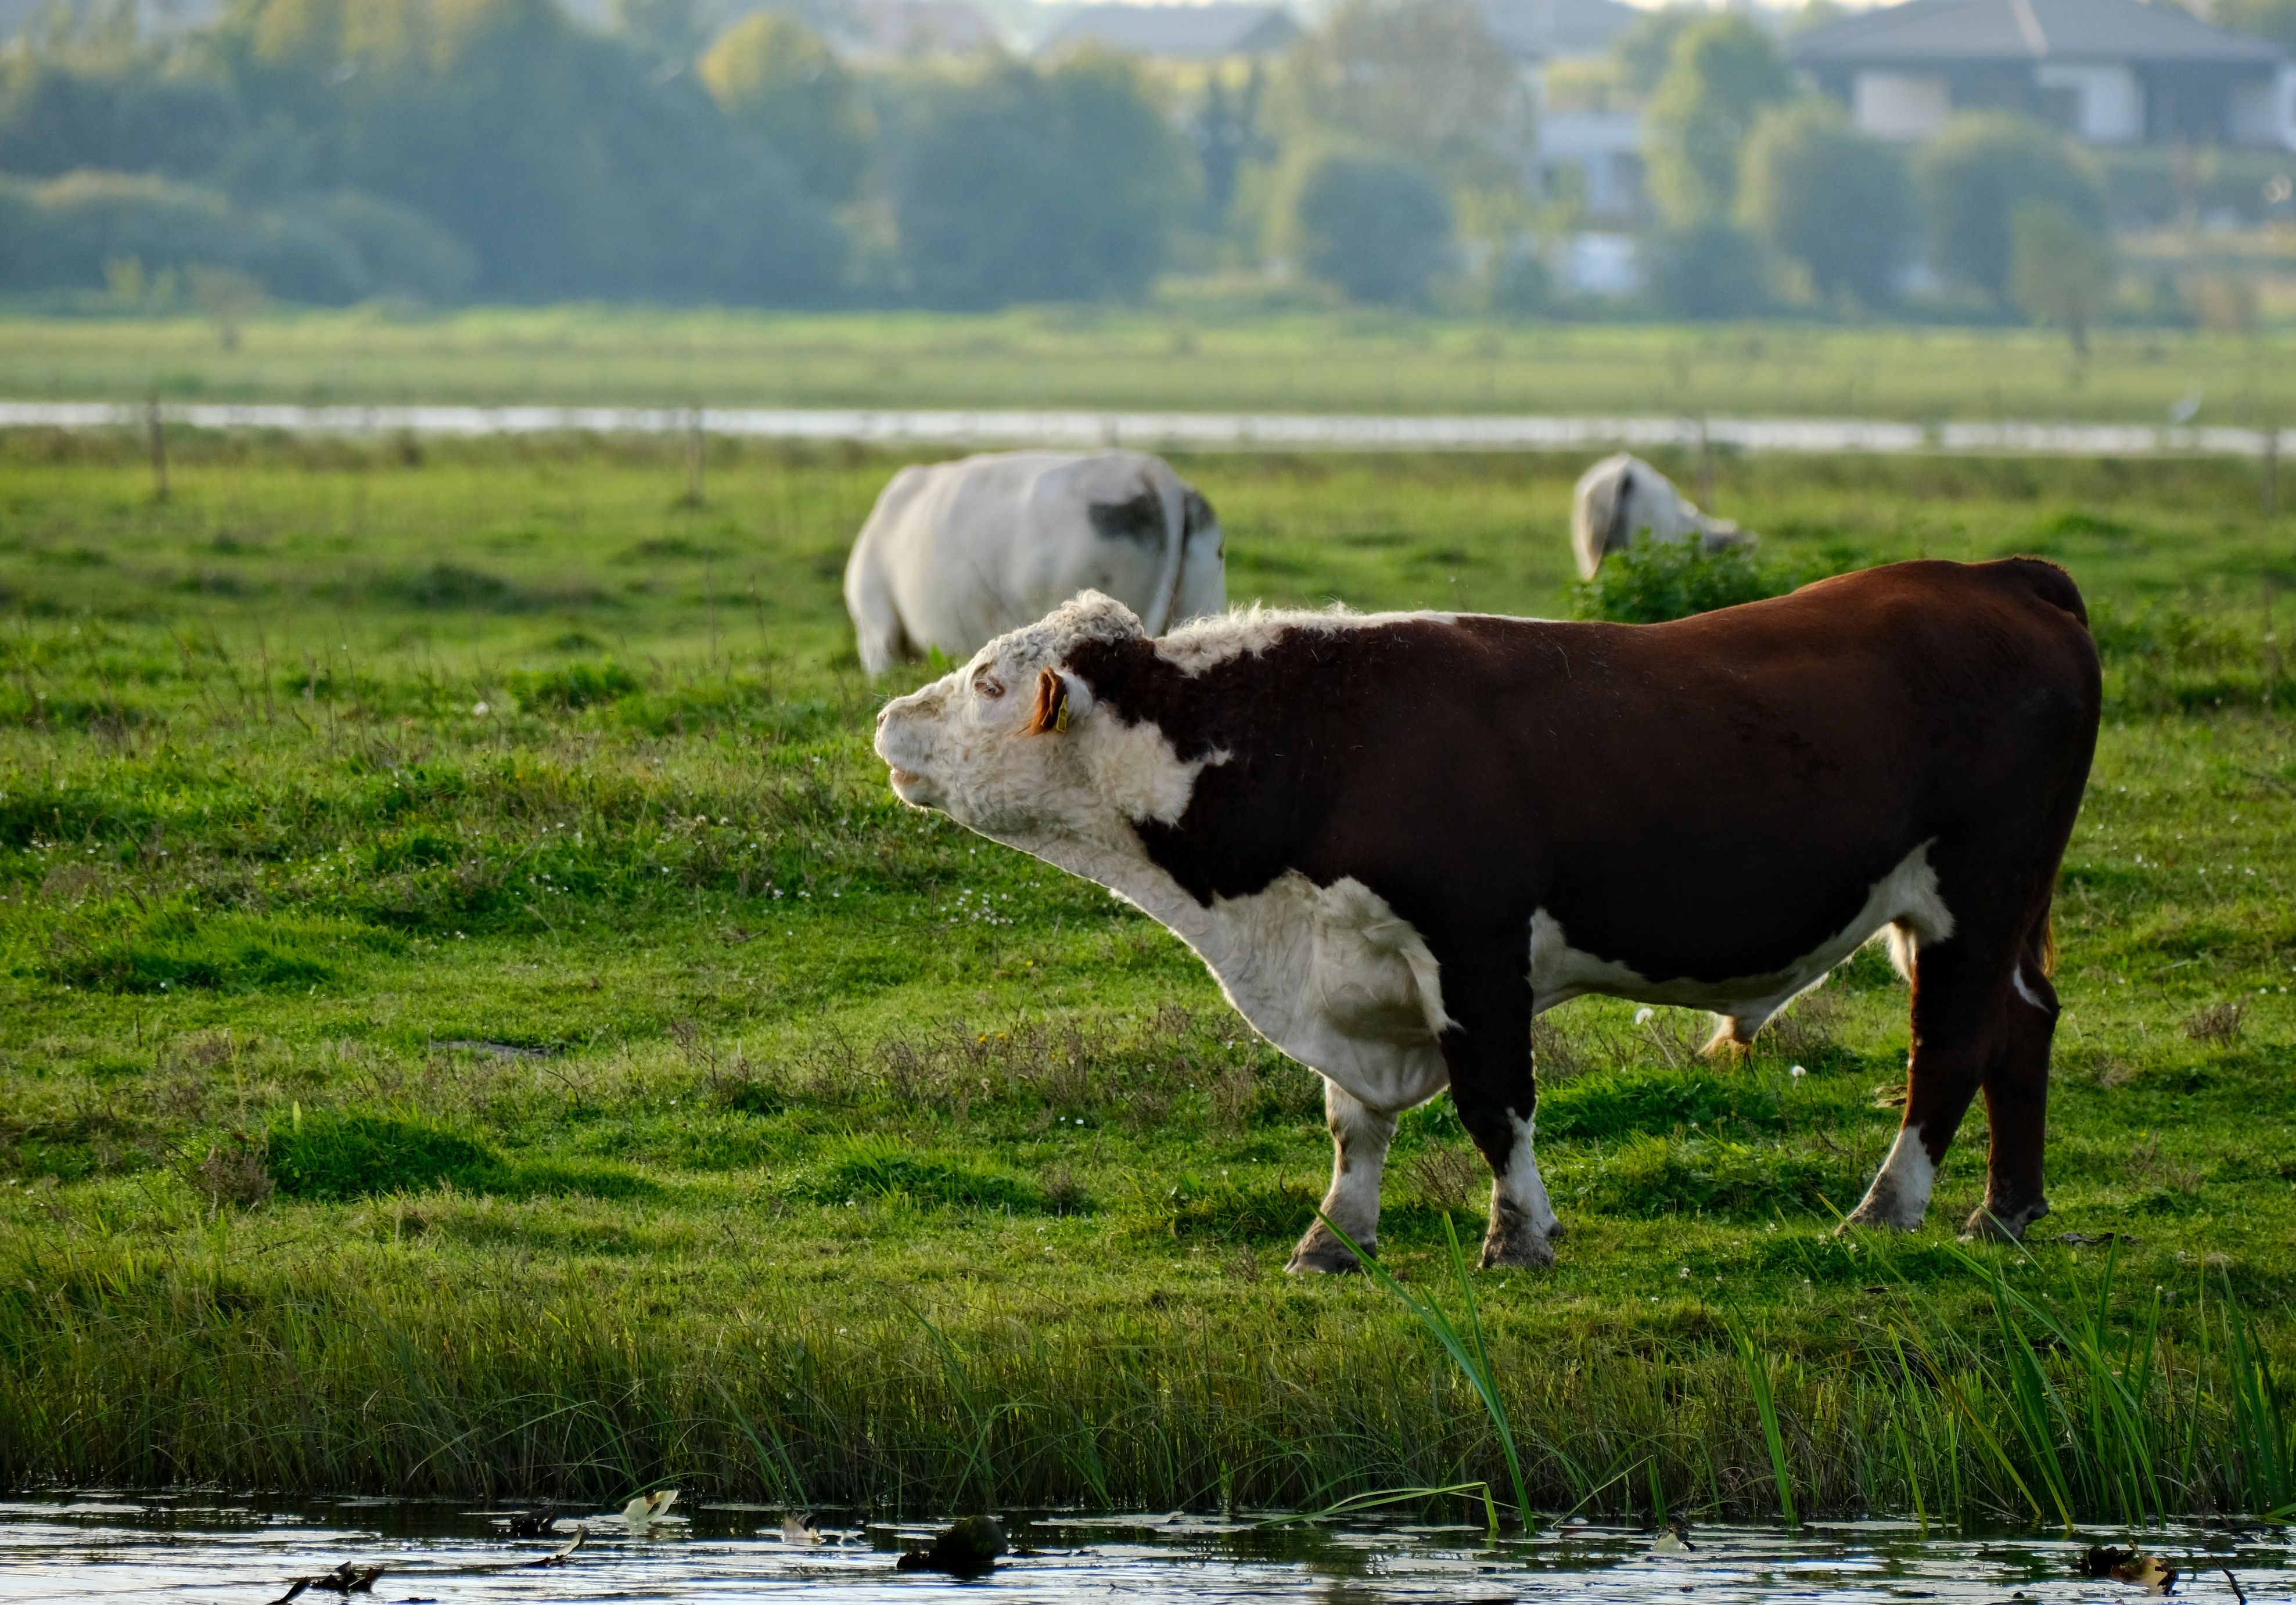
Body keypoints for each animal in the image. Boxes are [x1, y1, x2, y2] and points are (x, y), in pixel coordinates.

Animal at [872, 559, 2100, 1273]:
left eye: (985, 680)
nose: (887, 717)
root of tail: (1996, 573)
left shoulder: (1472, 945)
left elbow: (1491, 1104)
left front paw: (1517, 1237)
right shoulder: (1354, 970)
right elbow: (1352, 1120)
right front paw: (1334, 1237)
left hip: (1973, 892)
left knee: (1949, 1048)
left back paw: (1886, 1212)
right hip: (1987, 909)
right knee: (2021, 1026)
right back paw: (2005, 1210)